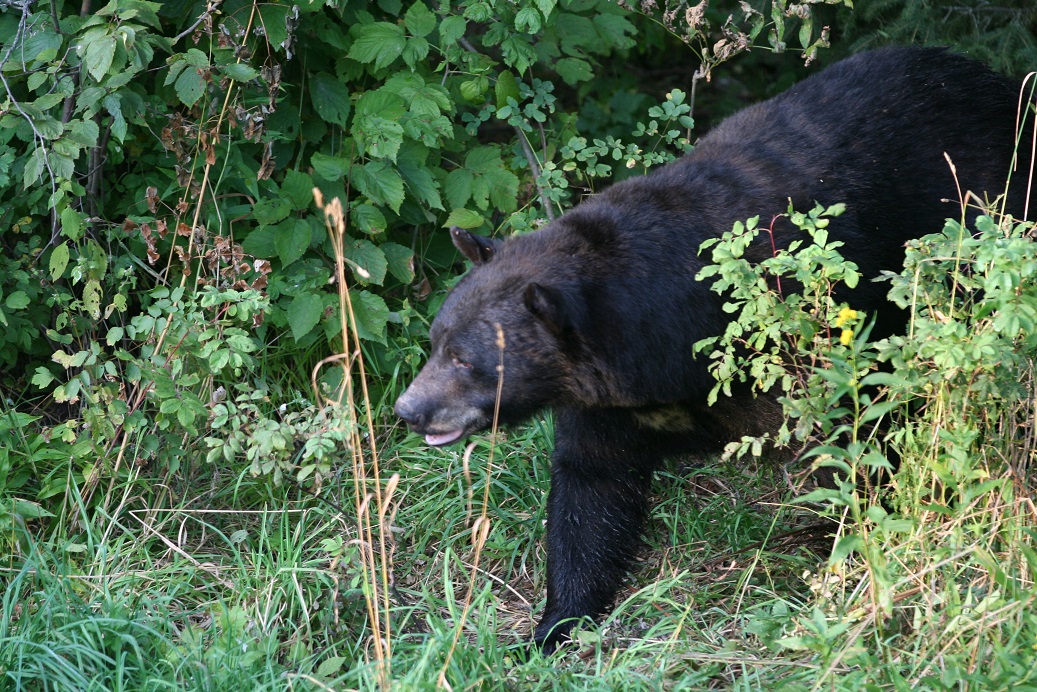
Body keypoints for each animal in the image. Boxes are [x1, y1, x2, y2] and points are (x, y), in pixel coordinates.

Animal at [394, 46, 1037, 652]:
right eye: (436, 340)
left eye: (466, 359)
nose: (408, 410)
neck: (667, 343)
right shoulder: (605, 401)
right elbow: (589, 491)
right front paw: (555, 624)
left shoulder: (807, 342)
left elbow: (863, 436)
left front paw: (844, 554)